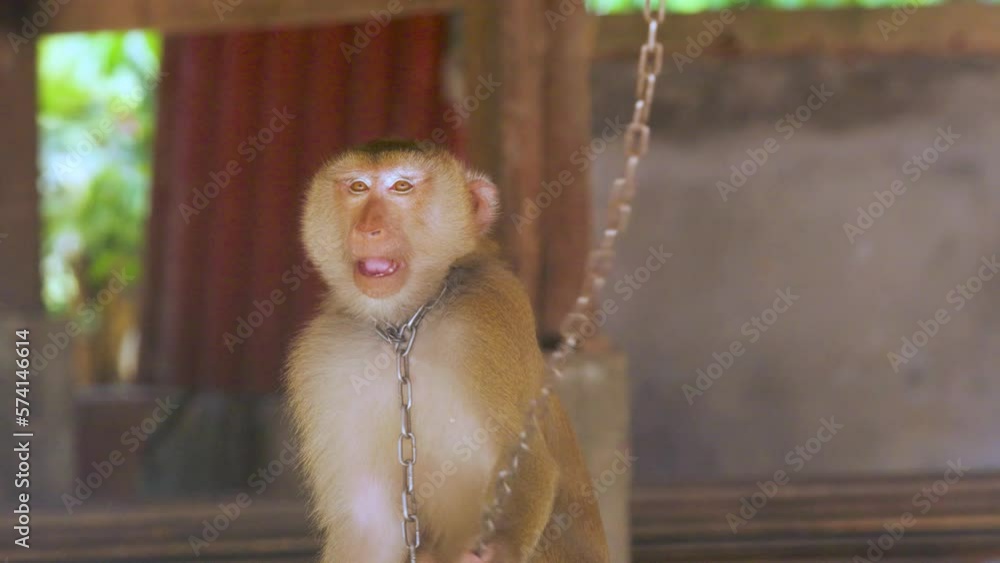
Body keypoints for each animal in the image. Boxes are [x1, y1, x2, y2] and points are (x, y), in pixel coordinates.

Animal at [285, 139, 609, 563]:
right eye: (357, 187)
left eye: (402, 187)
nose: (368, 229)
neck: (406, 328)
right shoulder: (324, 359)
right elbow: (368, 529)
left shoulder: (491, 314)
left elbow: (527, 458)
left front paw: (497, 550)